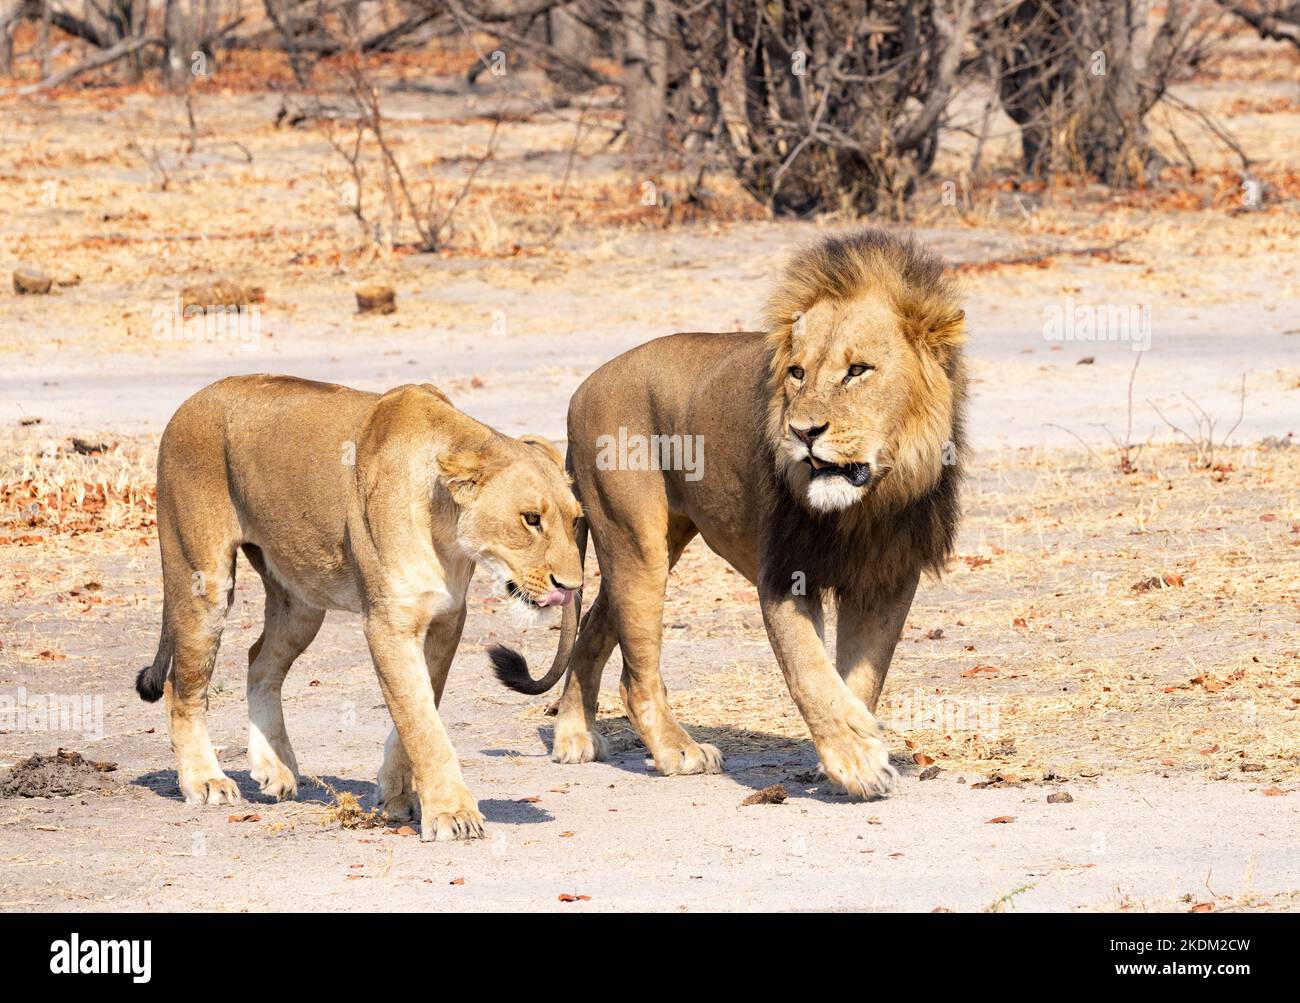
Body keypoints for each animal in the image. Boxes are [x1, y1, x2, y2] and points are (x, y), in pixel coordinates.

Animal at [135, 375, 583, 841]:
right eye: (530, 519)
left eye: (574, 520)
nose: (572, 587)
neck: (446, 526)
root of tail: (190, 401)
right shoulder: (388, 624)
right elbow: (423, 724)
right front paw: (453, 813)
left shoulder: (445, 619)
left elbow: (418, 712)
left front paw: (397, 796)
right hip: (202, 581)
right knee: (182, 687)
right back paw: (205, 780)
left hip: (300, 602)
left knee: (260, 662)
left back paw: (275, 767)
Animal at [492, 230, 966, 799]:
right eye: (797, 373)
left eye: (858, 371)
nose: (803, 432)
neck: (867, 501)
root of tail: (582, 389)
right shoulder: (783, 574)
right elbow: (809, 670)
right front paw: (856, 760)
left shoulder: (887, 578)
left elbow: (860, 677)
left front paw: (847, 750)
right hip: (636, 544)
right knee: (635, 675)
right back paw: (678, 751)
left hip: (653, 543)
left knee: (592, 626)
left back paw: (573, 736)